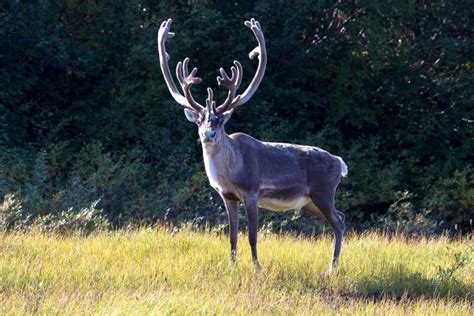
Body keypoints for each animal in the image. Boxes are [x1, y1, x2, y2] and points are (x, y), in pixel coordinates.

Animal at [157, 18, 346, 272]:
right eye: (198, 121)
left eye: (219, 121)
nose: (208, 133)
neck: (228, 173)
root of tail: (340, 163)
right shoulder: (228, 196)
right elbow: (232, 236)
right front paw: (231, 265)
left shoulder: (252, 191)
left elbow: (252, 236)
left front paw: (257, 267)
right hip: (310, 201)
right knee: (341, 217)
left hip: (323, 191)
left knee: (338, 224)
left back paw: (332, 268)